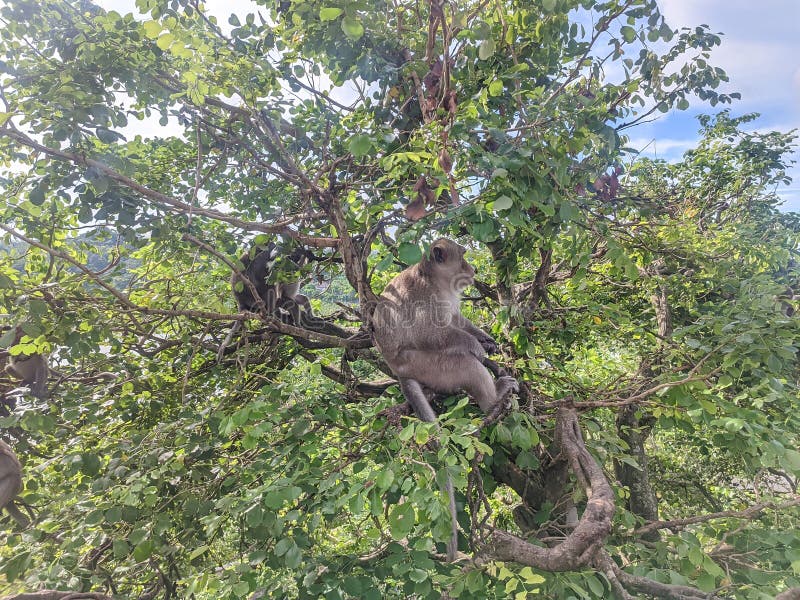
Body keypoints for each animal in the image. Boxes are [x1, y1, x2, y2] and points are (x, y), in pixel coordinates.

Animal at [371, 238, 519, 561]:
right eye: (462, 257)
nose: (472, 268)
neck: (436, 279)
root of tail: (399, 372)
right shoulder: (426, 299)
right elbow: (432, 331)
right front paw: (476, 345)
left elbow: (457, 319)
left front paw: (485, 338)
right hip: (427, 365)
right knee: (465, 365)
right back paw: (493, 398)